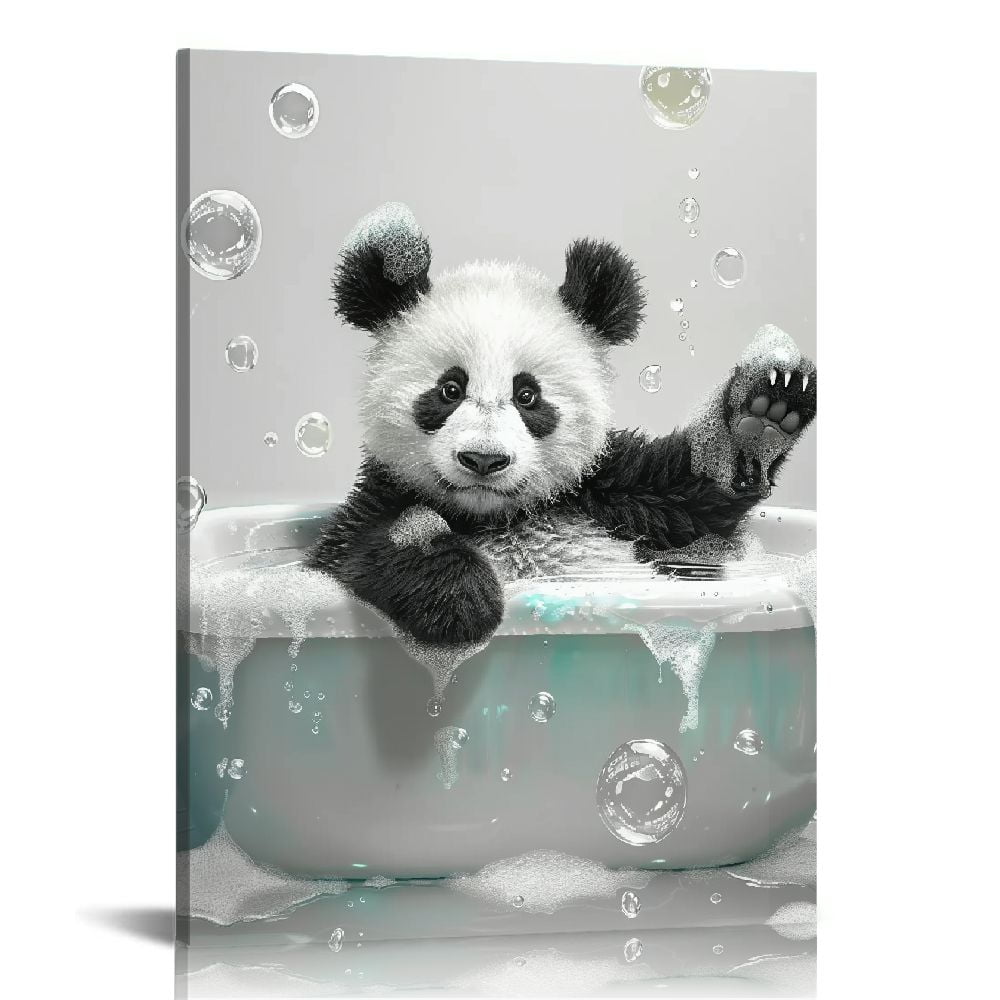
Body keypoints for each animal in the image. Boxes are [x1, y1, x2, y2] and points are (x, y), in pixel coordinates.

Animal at [306, 203, 817, 649]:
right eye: (449, 389)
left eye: (527, 395)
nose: (484, 459)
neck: (498, 515)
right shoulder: (375, 501)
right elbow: (366, 548)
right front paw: (460, 598)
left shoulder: (605, 492)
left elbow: (690, 500)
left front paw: (763, 417)